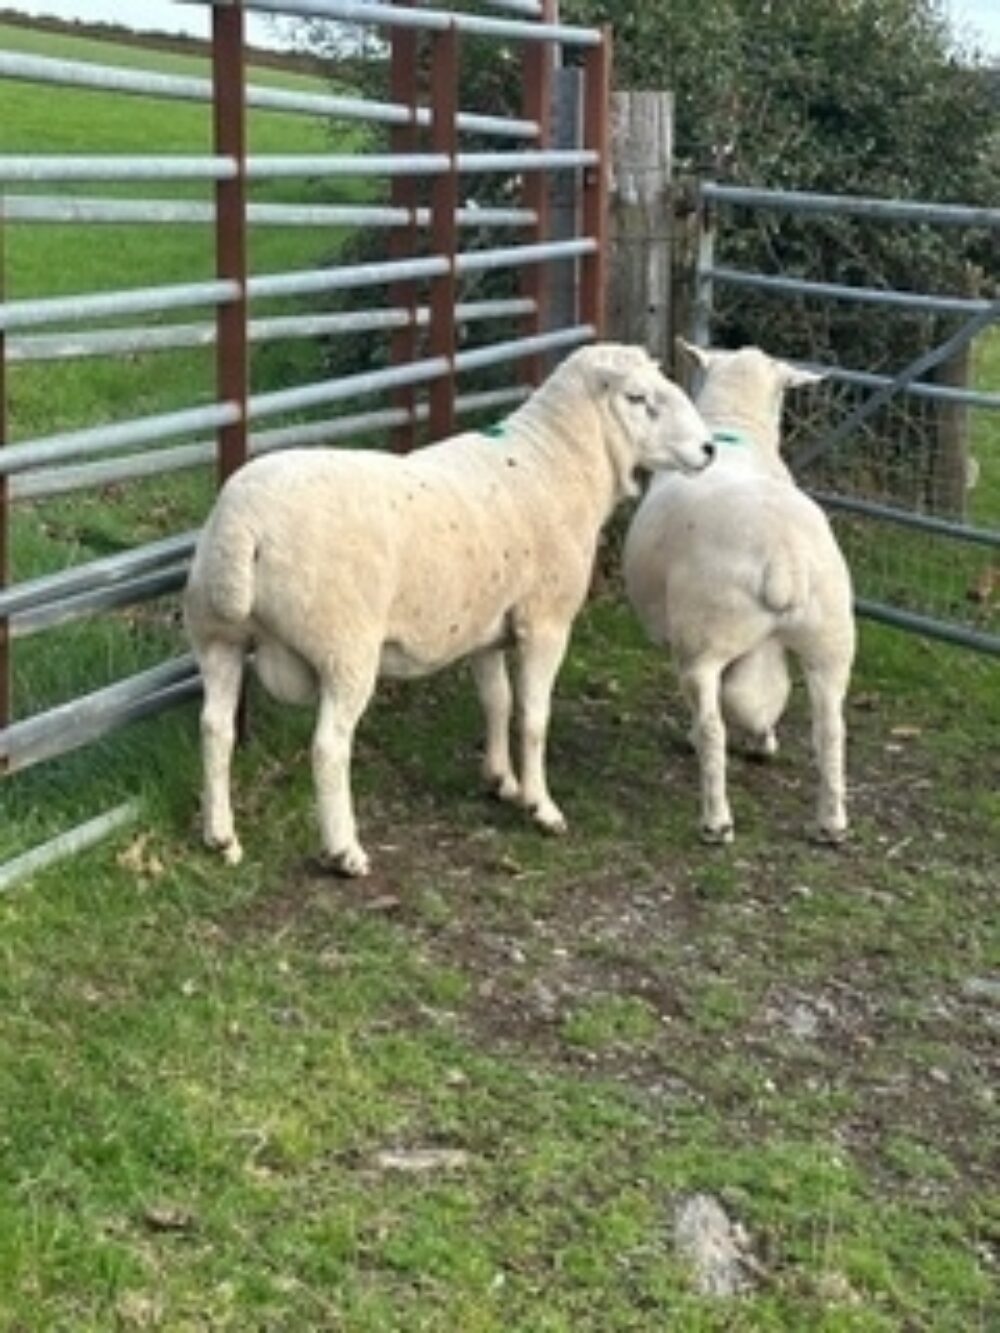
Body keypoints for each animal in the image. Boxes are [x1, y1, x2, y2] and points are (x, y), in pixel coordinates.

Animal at [184, 342, 715, 875]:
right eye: (638, 398)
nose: (710, 449)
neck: (557, 463)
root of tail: (242, 524)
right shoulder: (545, 621)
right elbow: (534, 715)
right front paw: (540, 807)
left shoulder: (487, 625)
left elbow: (497, 700)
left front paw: (501, 780)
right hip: (344, 648)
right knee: (329, 746)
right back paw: (344, 850)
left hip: (218, 638)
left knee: (214, 729)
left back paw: (220, 836)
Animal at [622, 339, 856, 844]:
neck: (736, 431)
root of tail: (785, 554)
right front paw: (763, 739)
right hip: (830, 640)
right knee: (830, 730)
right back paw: (831, 823)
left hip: (704, 639)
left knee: (714, 730)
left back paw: (716, 819)